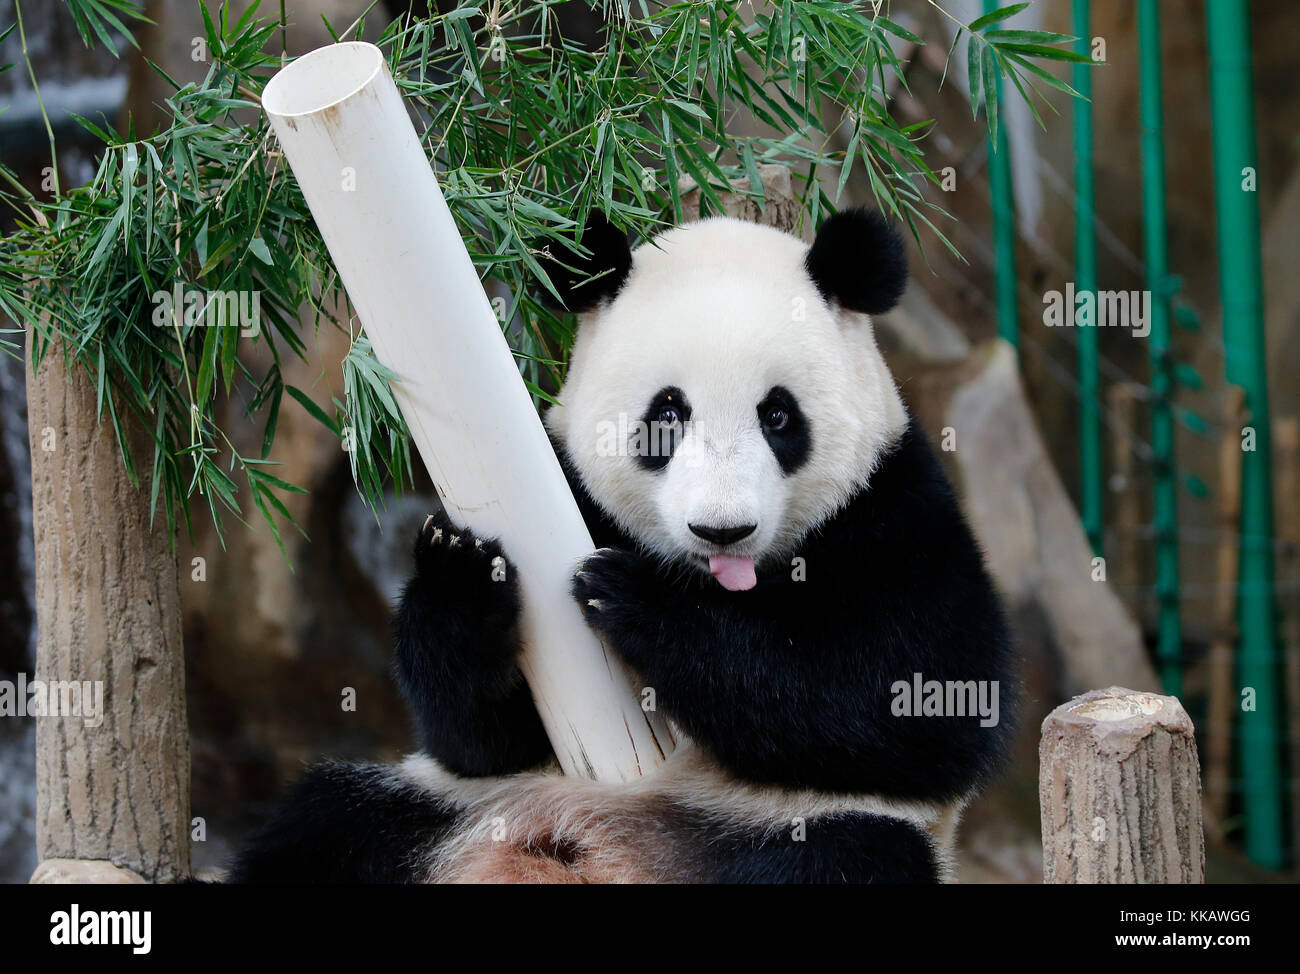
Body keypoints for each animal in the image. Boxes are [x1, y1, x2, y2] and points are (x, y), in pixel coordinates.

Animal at [227, 208, 1015, 884]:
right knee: (328, 827)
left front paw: (639, 600)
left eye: (778, 415)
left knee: (844, 861)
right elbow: (480, 739)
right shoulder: (571, 488)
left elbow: (919, 698)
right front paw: (461, 574)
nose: (721, 530)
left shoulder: (892, 511)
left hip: (785, 824)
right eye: (666, 414)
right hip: (451, 808)